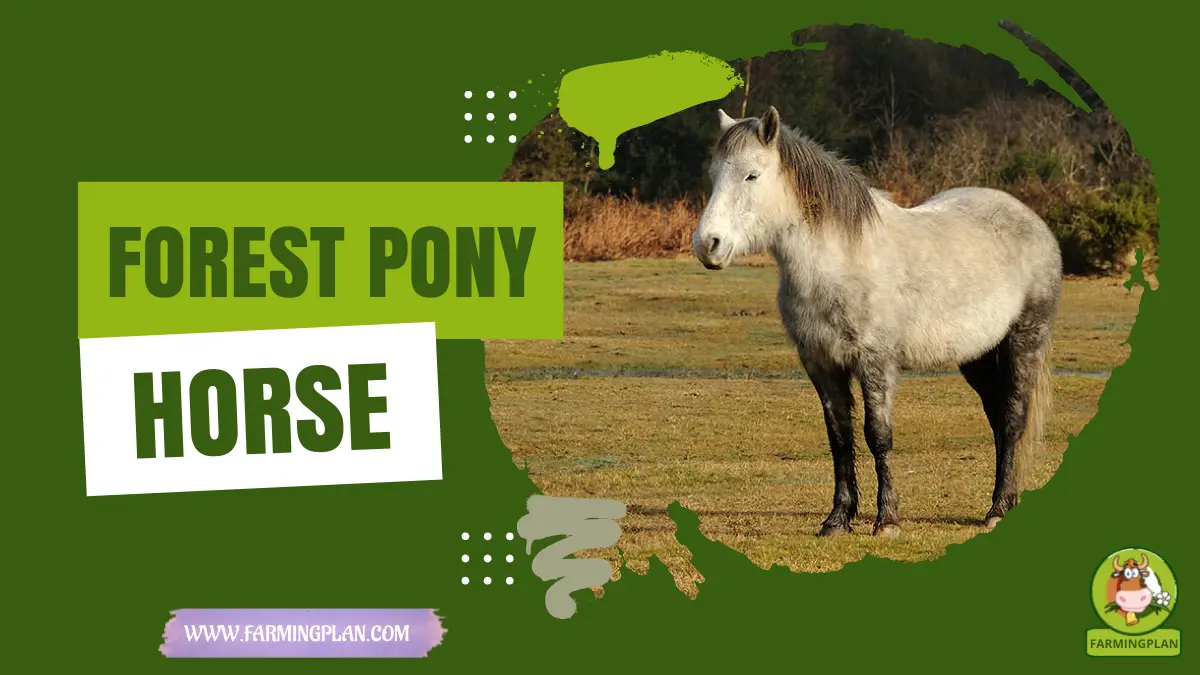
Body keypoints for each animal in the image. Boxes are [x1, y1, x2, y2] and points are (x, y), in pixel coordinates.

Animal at [692, 106, 1063, 537]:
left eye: (752, 175)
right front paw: (838, 519)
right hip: (979, 357)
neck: (840, 260)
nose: (708, 245)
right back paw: (1006, 503)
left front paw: (886, 520)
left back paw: (998, 510)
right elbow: (839, 437)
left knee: (1013, 420)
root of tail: (1032, 222)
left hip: (1024, 341)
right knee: (998, 420)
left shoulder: (875, 362)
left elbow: (877, 436)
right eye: (714, 174)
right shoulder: (821, 364)